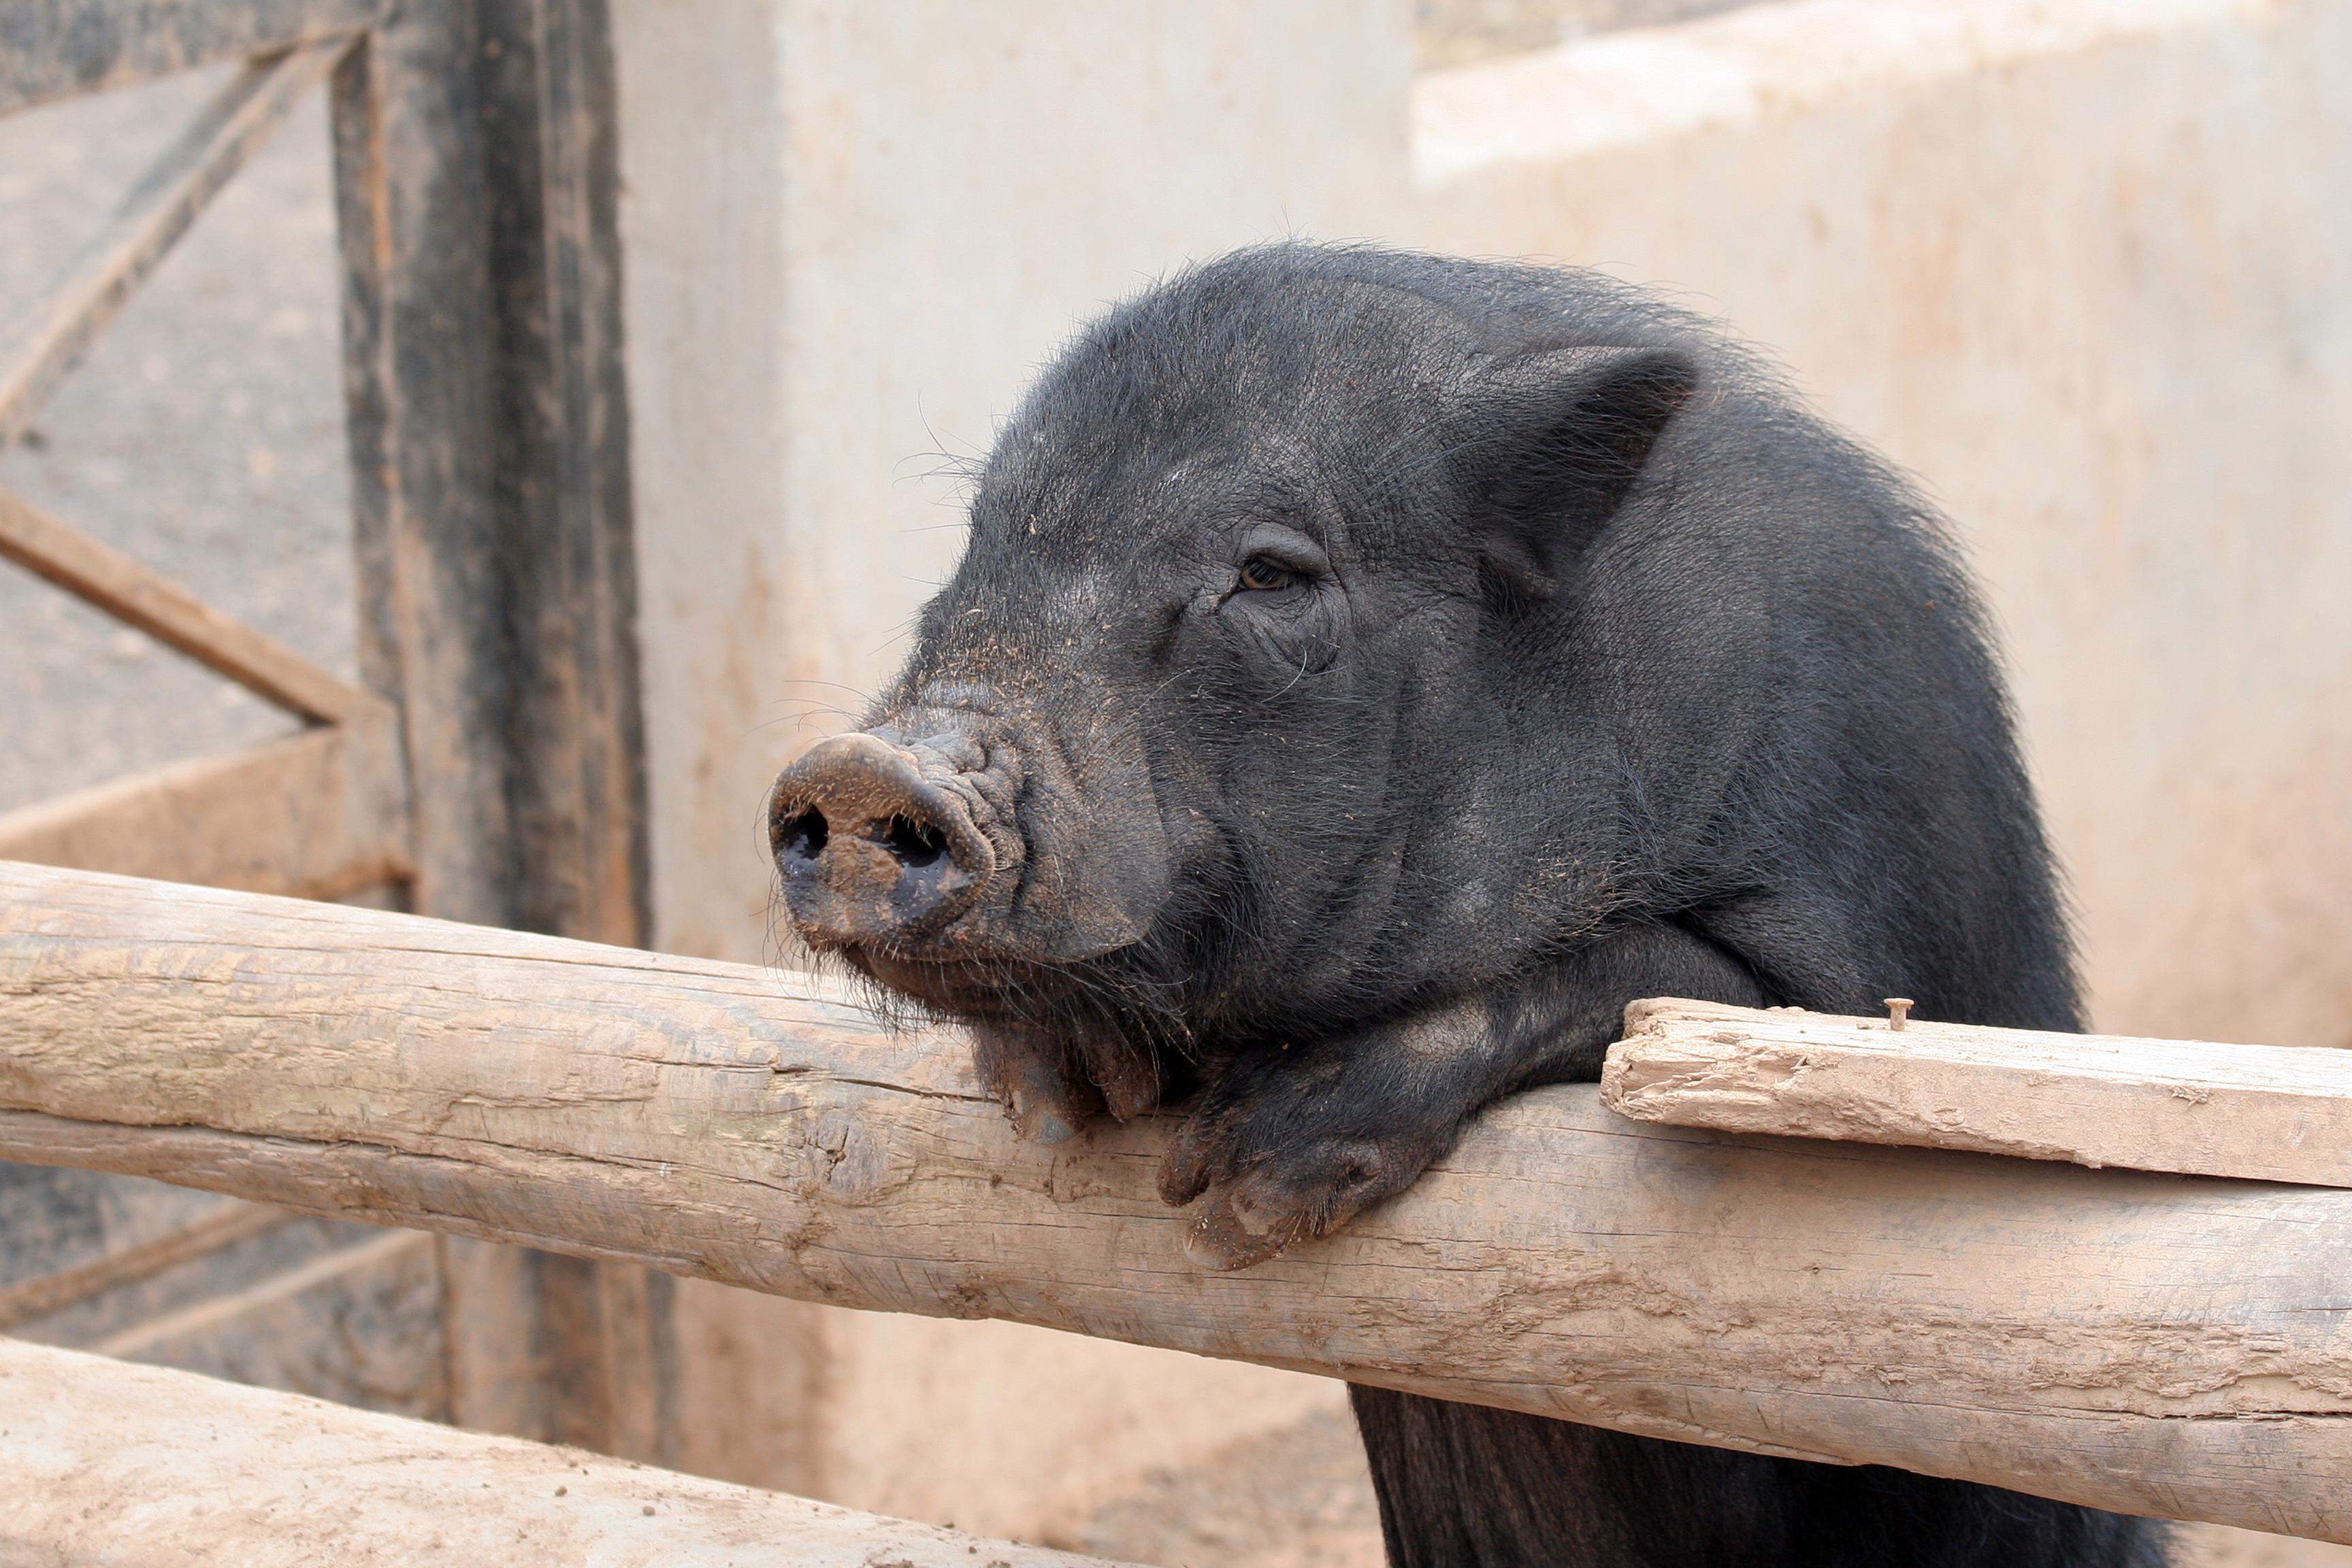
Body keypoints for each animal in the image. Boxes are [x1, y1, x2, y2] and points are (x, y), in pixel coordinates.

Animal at [769, 243, 2166, 1568]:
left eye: (1270, 575)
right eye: (983, 542)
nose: (862, 767)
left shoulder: (1873, 946)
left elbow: (1667, 983)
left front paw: (1242, 1191)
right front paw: (1067, 1105)